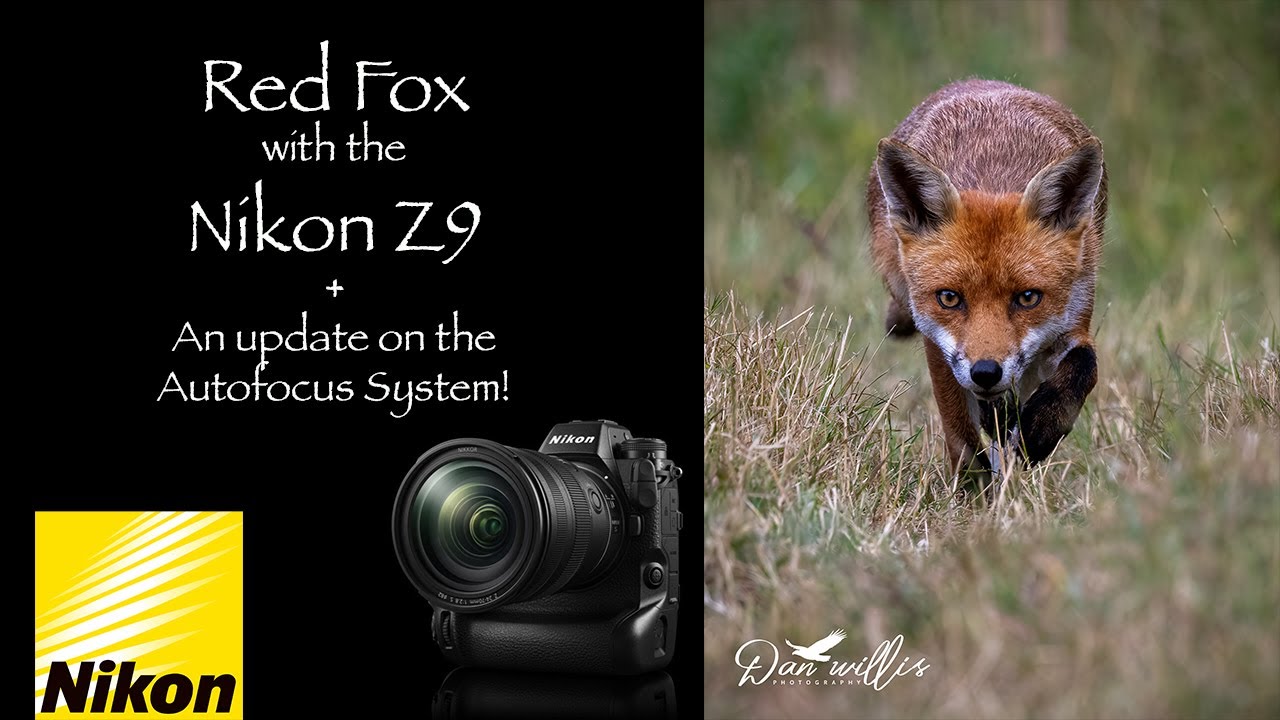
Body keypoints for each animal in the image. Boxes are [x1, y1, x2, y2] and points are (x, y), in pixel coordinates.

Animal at [866, 78, 1107, 490]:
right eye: (949, 298)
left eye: (1028, 297)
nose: (985, 372)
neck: (993, 178)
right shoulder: (938, 345)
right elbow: (960, 436)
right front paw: (974, 491)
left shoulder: (1070, 319)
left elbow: (1083, 367)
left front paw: (1040, 431)